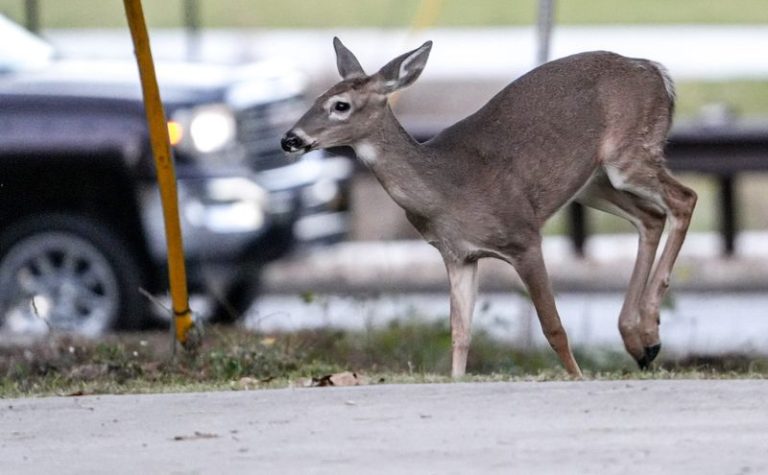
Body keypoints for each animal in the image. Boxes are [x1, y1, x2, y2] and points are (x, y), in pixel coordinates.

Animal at [281, 38, 697, 378]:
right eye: (315, 98)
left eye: (340, 105)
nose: (290, 139)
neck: (447, 190)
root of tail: (657, 71)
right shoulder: (457, 255)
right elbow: (460, 332)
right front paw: (456, 378)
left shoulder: (523, 236)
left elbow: (553, 327)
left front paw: (577, 377)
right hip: (592, 184)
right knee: (651, 216)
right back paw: (640, 340)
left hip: (629, 154)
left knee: (684, 199)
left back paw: (646, 329)